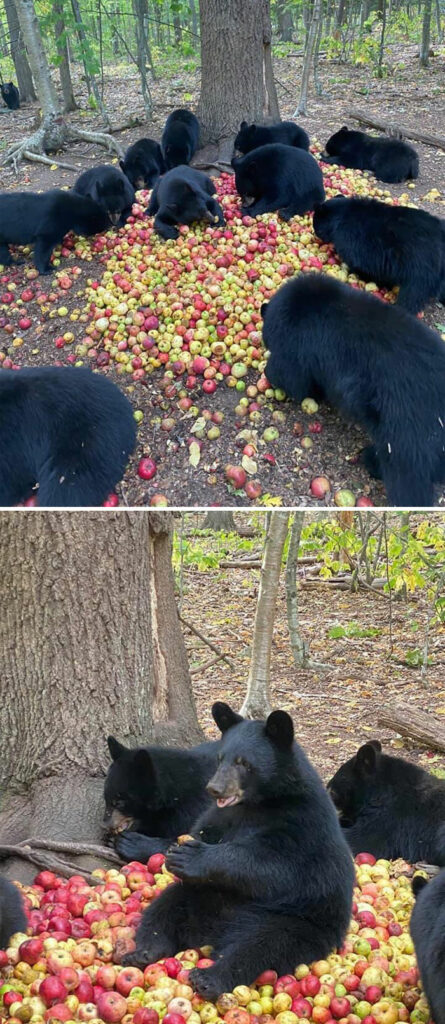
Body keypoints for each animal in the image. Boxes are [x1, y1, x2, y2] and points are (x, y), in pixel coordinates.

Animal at [121, 702, 355, 1001]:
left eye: (243, 762)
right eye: (221, 758)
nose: (214, 788)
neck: (258, 803)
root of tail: (211, 933)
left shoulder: (302, 822)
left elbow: (275, 866)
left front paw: (192, 857)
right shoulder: (222, 815)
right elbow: (202, 829)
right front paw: (175, 852)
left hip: (296, 920)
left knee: (260, 945)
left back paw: (210, 977)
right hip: (201, 896)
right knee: (166, 907)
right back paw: (144, 951)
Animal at [313, 196, 445, 314]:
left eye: (316, 227)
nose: (317, 235)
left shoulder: (355, 242)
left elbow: (363, 267)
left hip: (420, 266)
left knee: (413, 294)